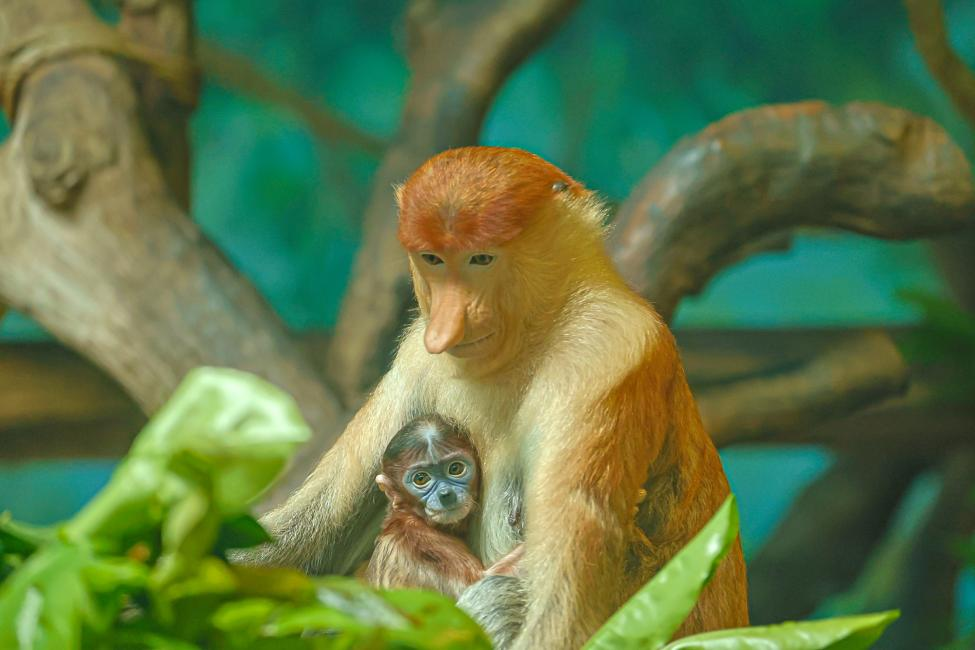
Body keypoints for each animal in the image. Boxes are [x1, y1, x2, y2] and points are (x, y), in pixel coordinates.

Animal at [255, 146, 749, 649]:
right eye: (432, 258)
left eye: (482, 258)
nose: (449, 326)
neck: (538, 329)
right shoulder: (418, 356)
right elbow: (309, 539)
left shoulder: (603, 354)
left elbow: (564, 609)